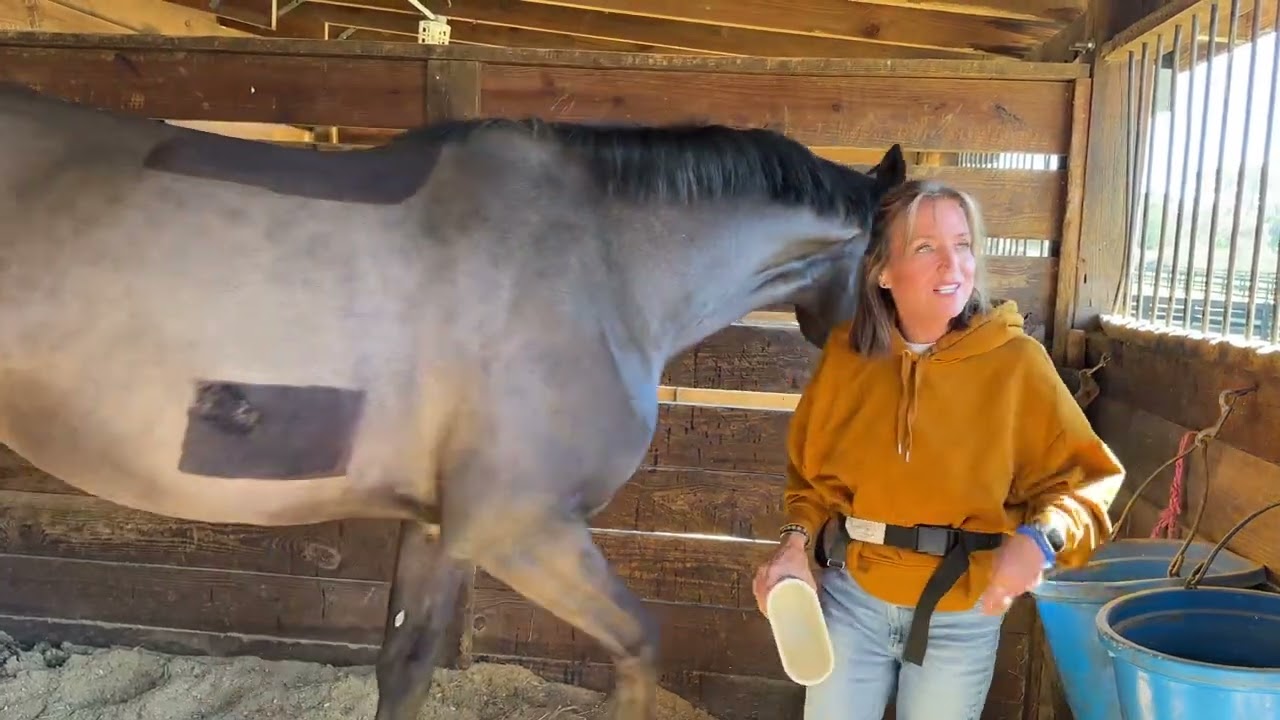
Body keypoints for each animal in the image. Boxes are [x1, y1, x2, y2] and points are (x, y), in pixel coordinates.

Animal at [0, 81, 907, 719]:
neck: (608, 267)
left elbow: (404, 669)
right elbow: (640, 649)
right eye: (908, 268)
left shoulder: (440, 527)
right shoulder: (522, 529)